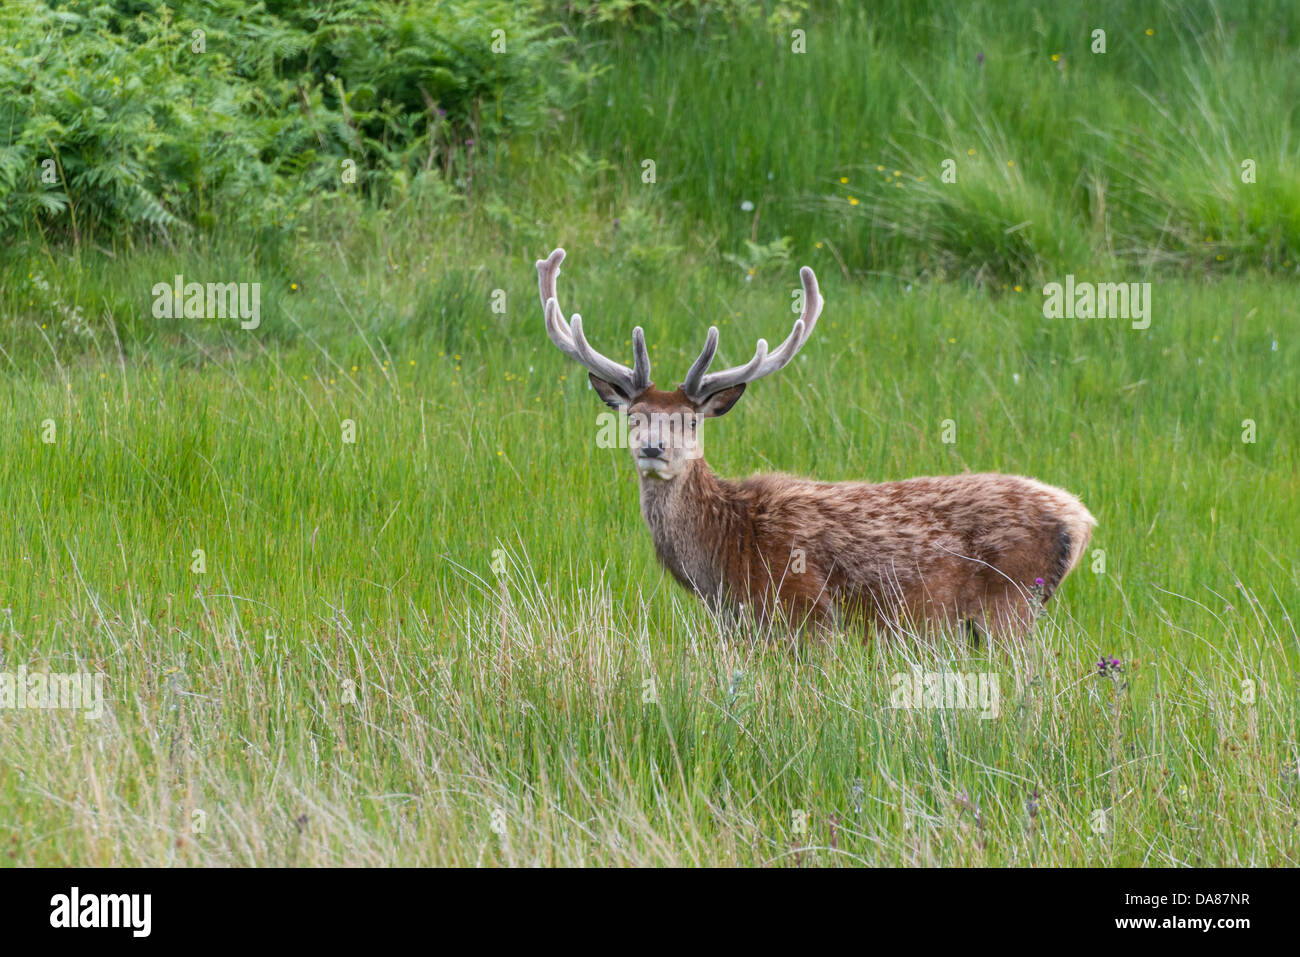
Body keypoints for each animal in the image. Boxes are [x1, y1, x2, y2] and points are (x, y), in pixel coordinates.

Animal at [538, 247, 1097, 642]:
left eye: (690, 423)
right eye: (634, 417)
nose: (653, 448)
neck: (726, 553)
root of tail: (1081, 520)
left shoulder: (807, 612)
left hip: (1011, 605)